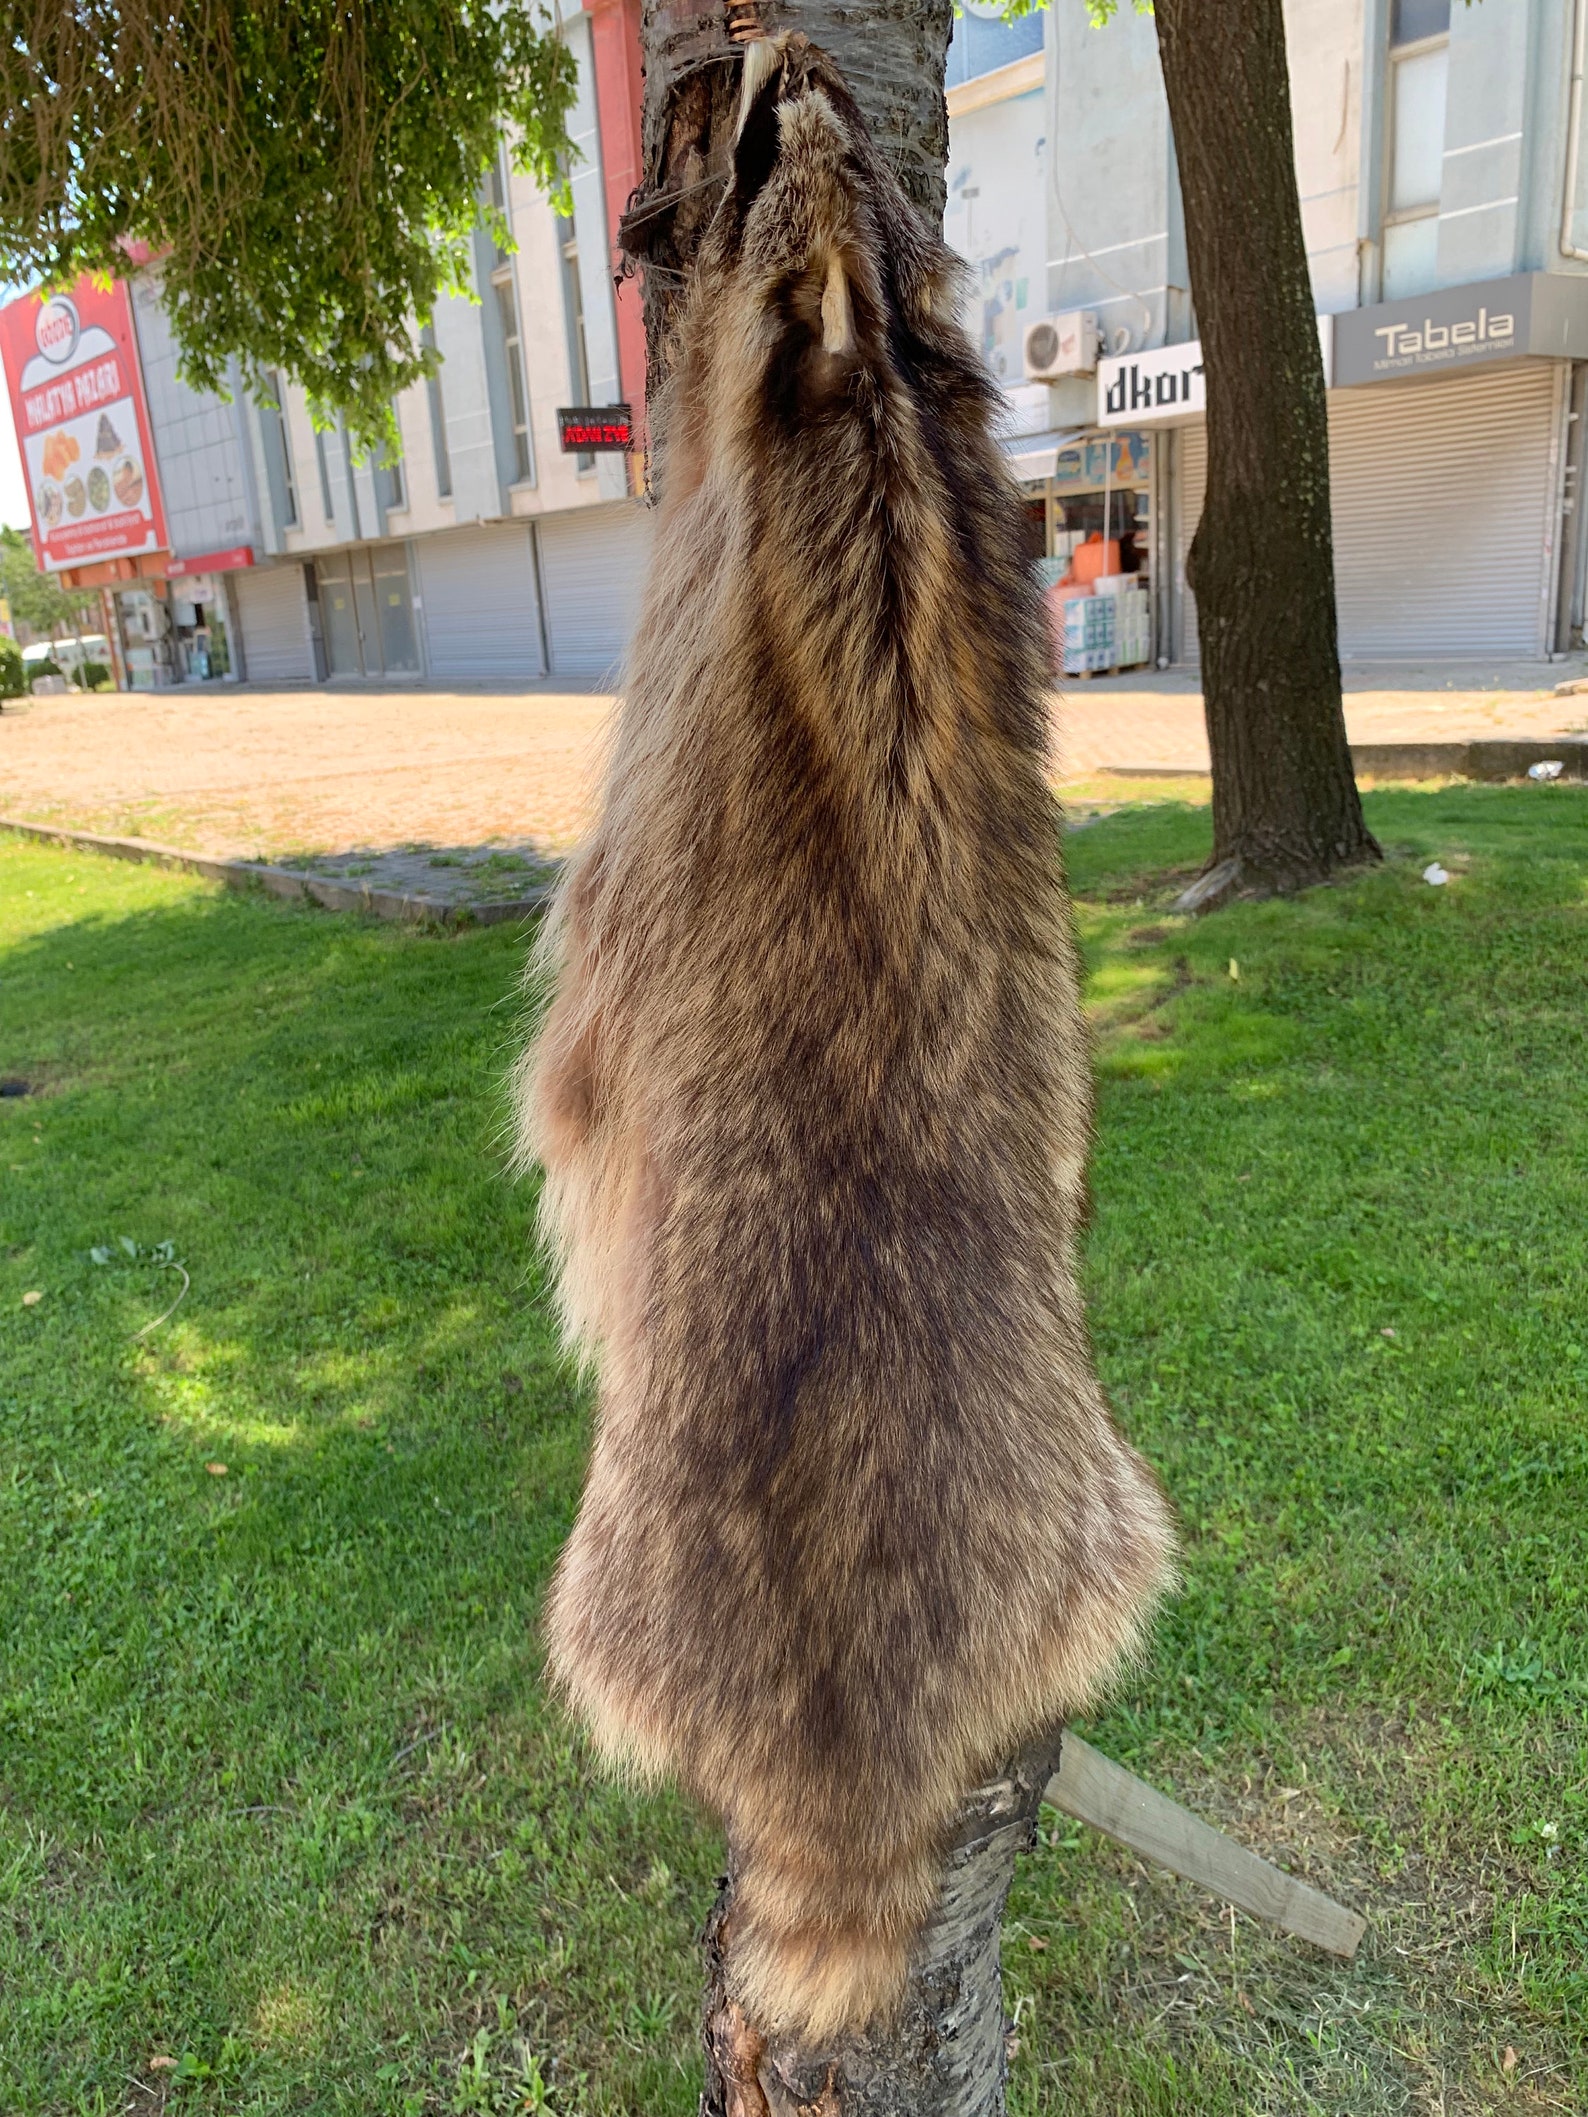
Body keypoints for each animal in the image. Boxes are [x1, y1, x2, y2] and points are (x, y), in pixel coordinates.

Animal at [516, 33, 1175, 2043]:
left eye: (738, 139)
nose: (780, 52)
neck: (864, 370)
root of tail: (850, 1743)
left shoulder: (660, 731)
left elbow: (564, 1078)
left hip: (629, 1563)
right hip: (1099, 1518)